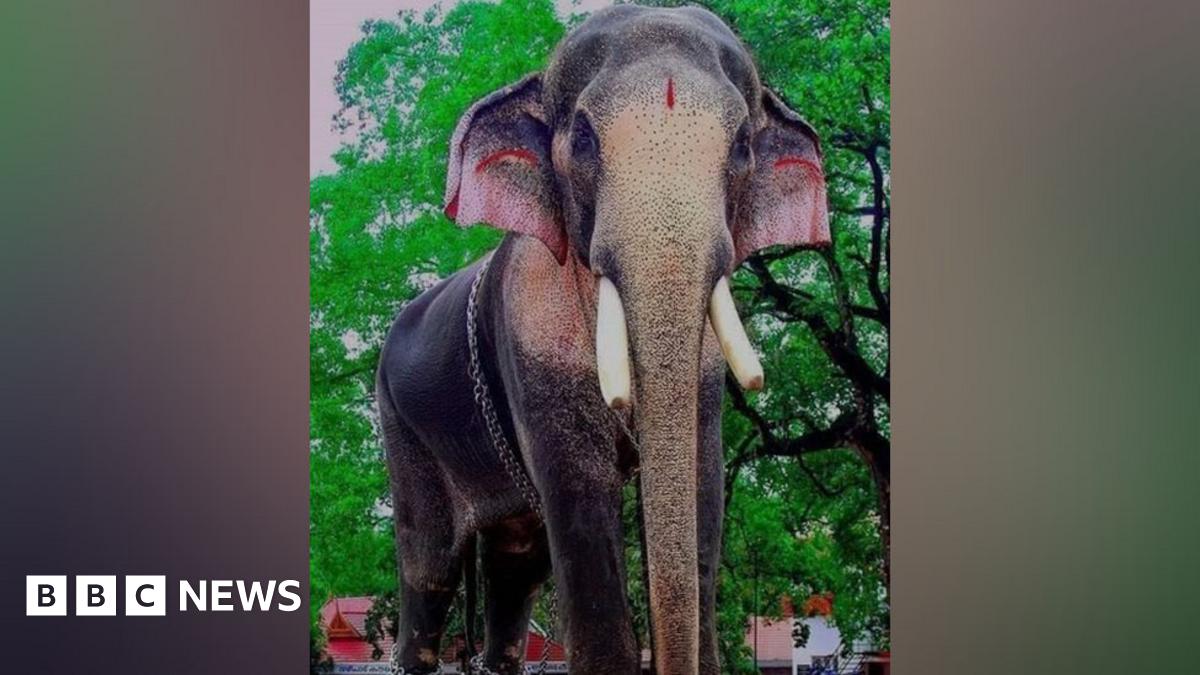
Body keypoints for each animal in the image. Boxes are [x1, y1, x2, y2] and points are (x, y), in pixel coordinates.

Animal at [376, 5, 829, 674]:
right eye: (584, 138)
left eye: (743, 144)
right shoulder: (530, 334)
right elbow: (581, 494)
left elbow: (704, 484)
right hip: (401, 427)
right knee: (429, 565)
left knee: (516, 567)